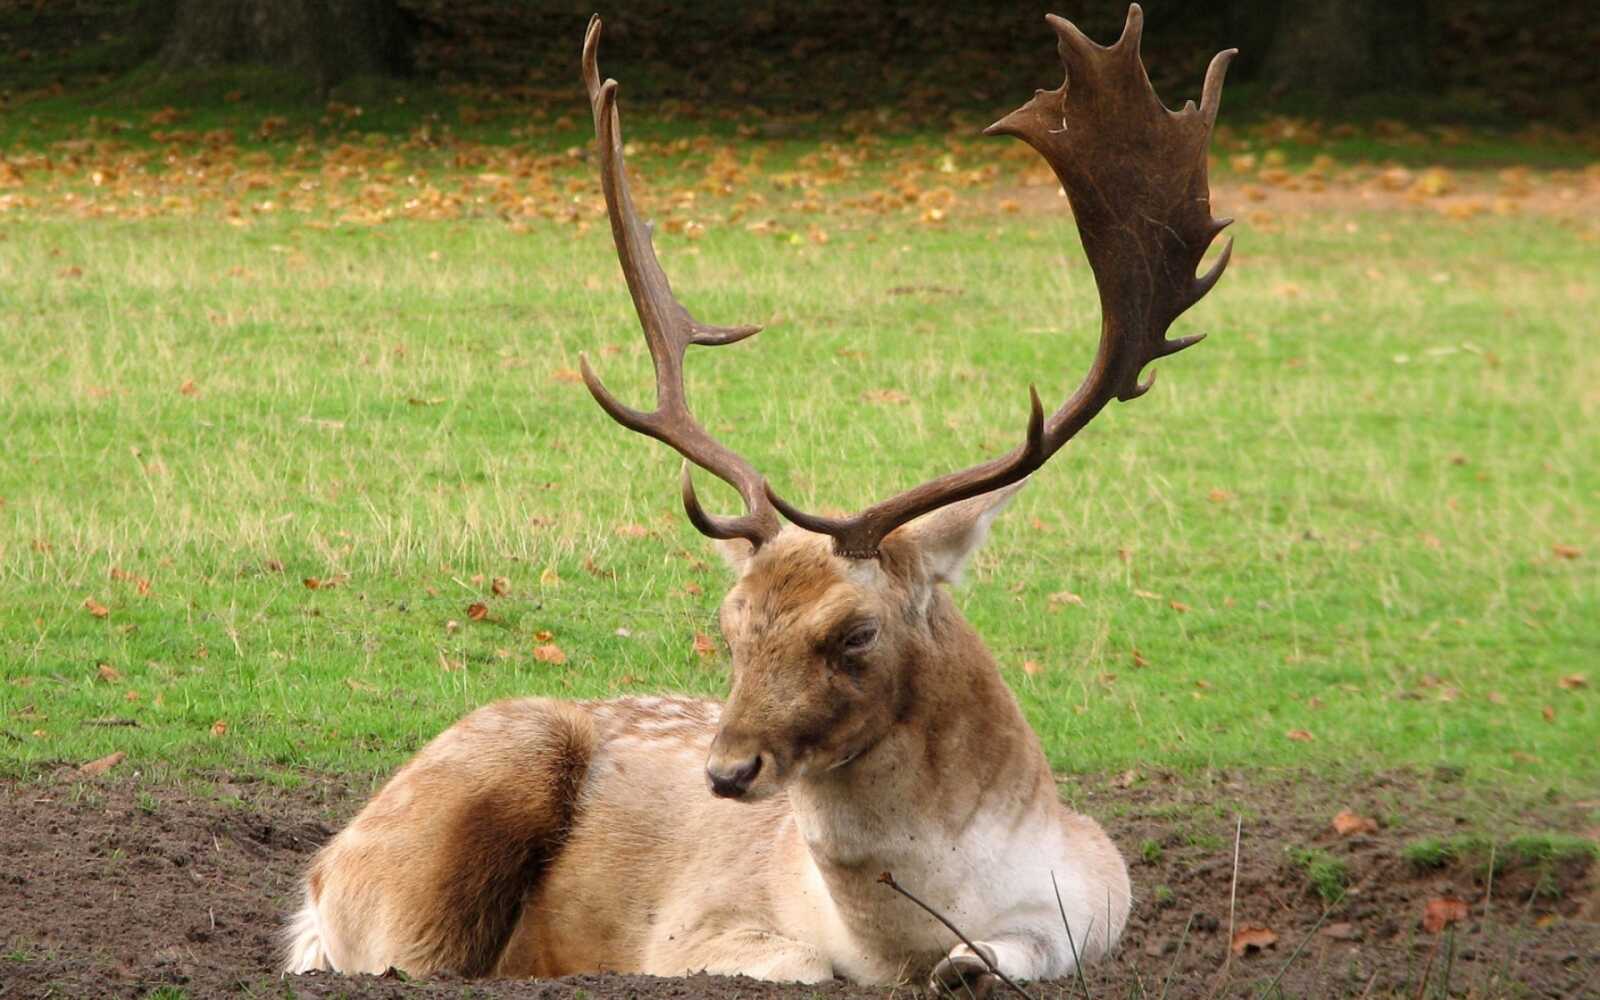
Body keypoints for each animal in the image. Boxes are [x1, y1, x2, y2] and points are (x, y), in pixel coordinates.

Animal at [283, 6, 1234, 994]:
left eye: (856, 633)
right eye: (730, 623)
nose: (728, 771)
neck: (900, 940)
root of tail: (316, 881)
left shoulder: (1098, 898)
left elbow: (1008, 956)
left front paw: (970, 963)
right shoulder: (690, 931)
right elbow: (803, 967)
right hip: (442, 841)